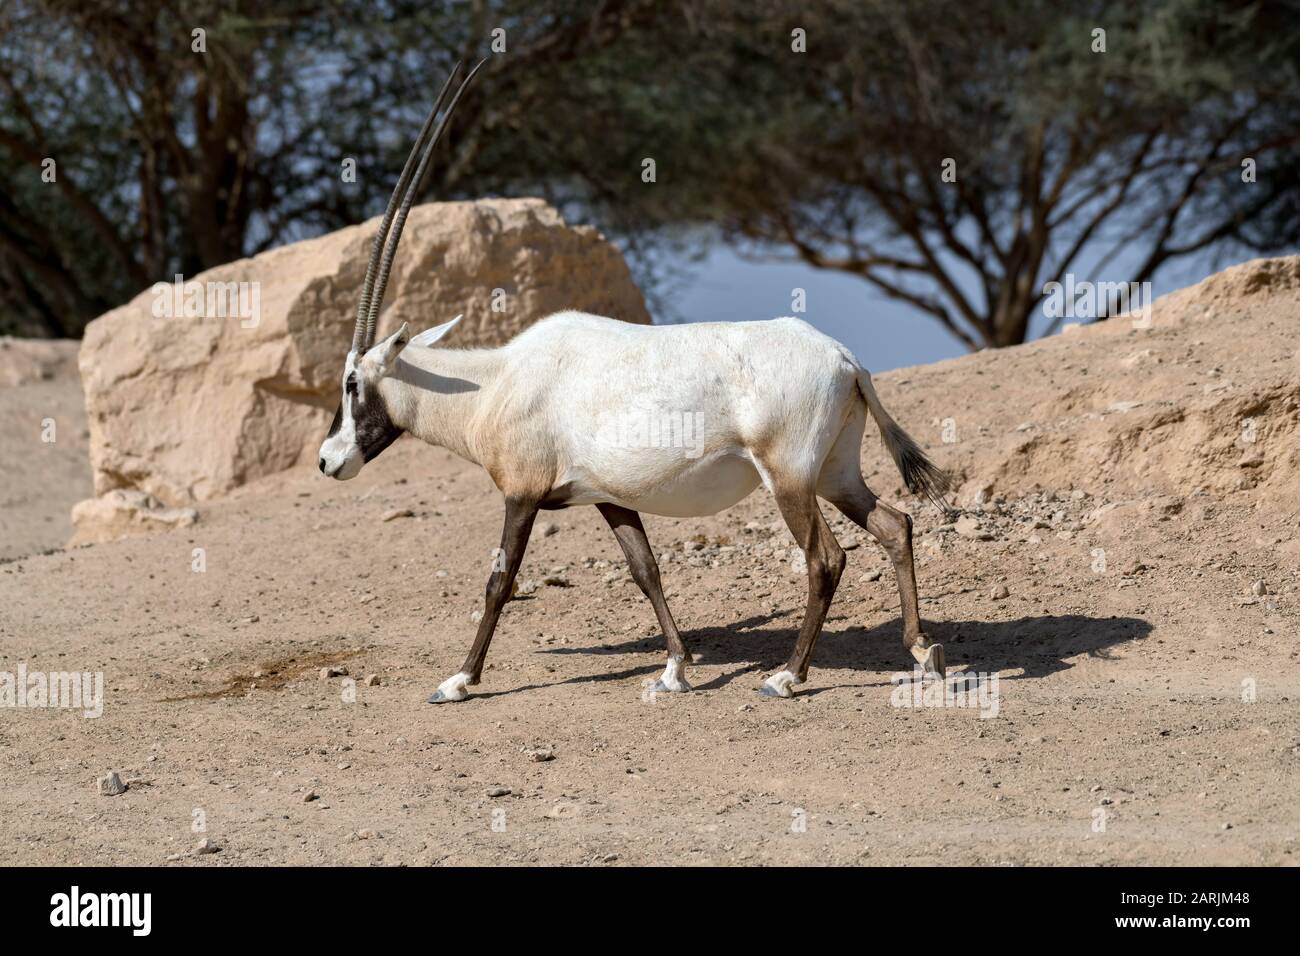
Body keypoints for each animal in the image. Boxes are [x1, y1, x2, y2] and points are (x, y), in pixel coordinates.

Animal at [318, 62, 951, 703]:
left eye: (349, 382)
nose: (326, 460)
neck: (494, 384)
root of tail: (844, 358)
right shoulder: (608, 498)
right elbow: (645, 570)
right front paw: (674, 669)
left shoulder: (521, 494)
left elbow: (501, 581)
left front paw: (458, 681)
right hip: (835, 472)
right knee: (895, 525)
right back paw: (922, 652)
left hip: (790, 478)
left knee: (826, 559)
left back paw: (787, 677)